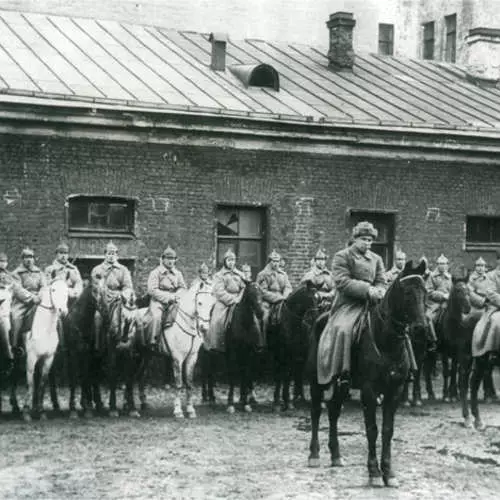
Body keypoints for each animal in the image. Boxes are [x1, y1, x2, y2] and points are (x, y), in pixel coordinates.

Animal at [18, 278, 69, 422]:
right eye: (53, 290)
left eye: (67, 291)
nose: (63, 311)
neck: (45, 328)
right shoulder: (31, 358)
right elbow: (30, 384)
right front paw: (26, 412)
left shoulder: (48, 358)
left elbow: (41, 383)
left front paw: (41, 412)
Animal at [306, 260, 428, 486]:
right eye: (407, 292)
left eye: (425, 291)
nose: (421, 329)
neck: (387, 340)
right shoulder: (369, 391)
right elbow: (372, 430)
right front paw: (374, 473)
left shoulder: (395, 390)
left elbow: (388, 430)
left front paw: (389, 472)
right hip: (316, 381)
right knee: (316, 412)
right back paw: (314, 455)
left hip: (342, 385)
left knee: (334, 412)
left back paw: (336, 456)